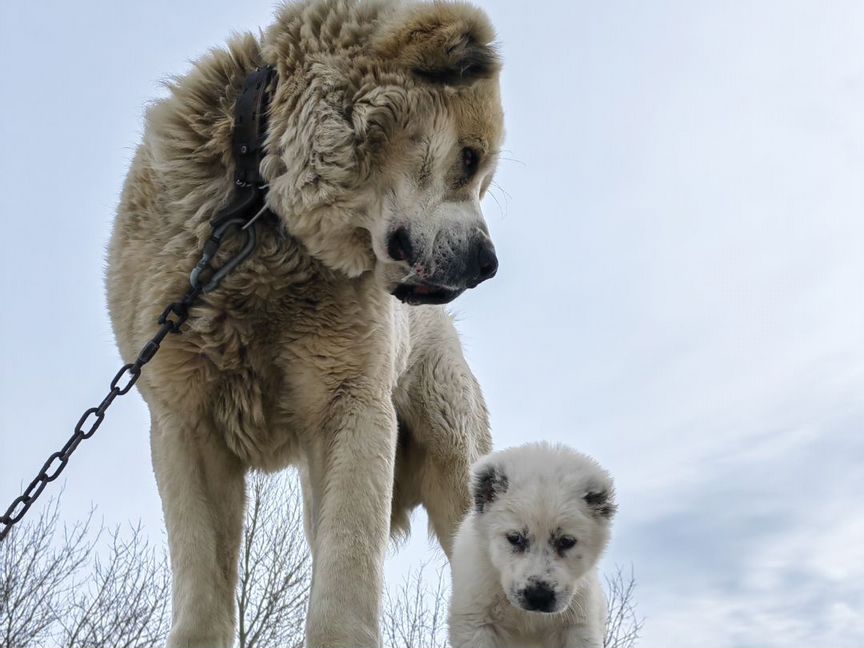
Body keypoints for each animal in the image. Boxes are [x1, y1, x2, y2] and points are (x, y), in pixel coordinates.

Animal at [104, 2, 502, 644]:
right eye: (468, 160)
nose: (489, 266)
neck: (259, 212)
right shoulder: (185, 428)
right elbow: (204, 592)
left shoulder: (354, 408)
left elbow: (343, 589)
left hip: (457, 471)